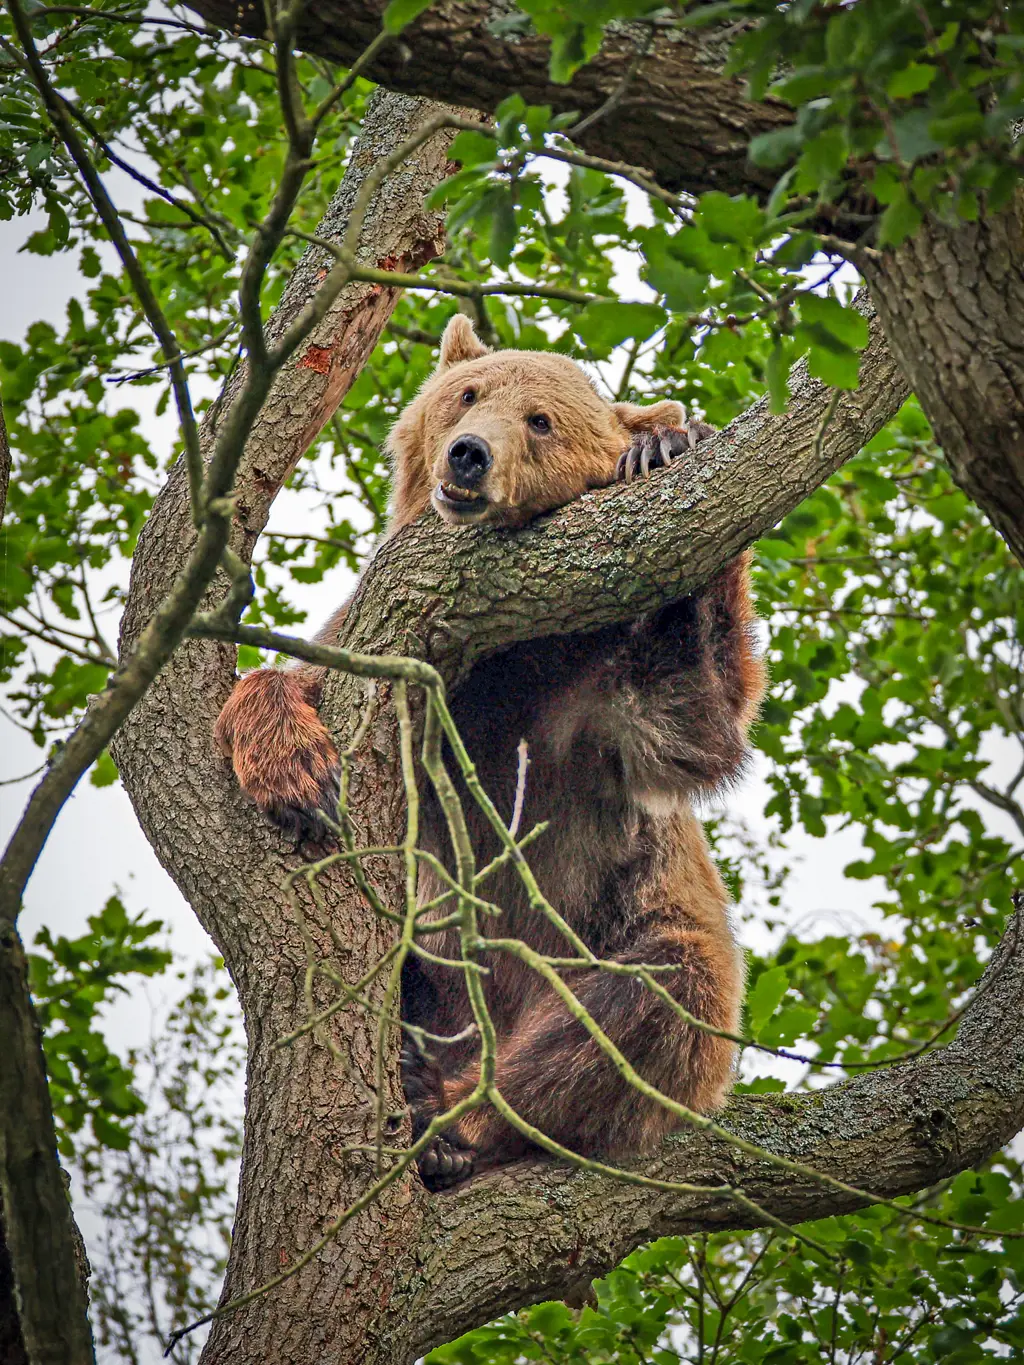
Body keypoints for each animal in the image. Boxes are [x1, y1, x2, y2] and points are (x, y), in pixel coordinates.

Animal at [214, 314, 765, 1189]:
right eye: (468, 394)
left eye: (541, 420)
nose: (468, 454)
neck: (500, 663)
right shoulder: (388, 661)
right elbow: (291, 680)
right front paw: (298, 772)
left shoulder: (585, 706)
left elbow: (693, 716)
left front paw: (666, 446)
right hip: (437, 970)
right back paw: (415, 1079)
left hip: (619, 931)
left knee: (647, 1002)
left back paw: (456, 1121)